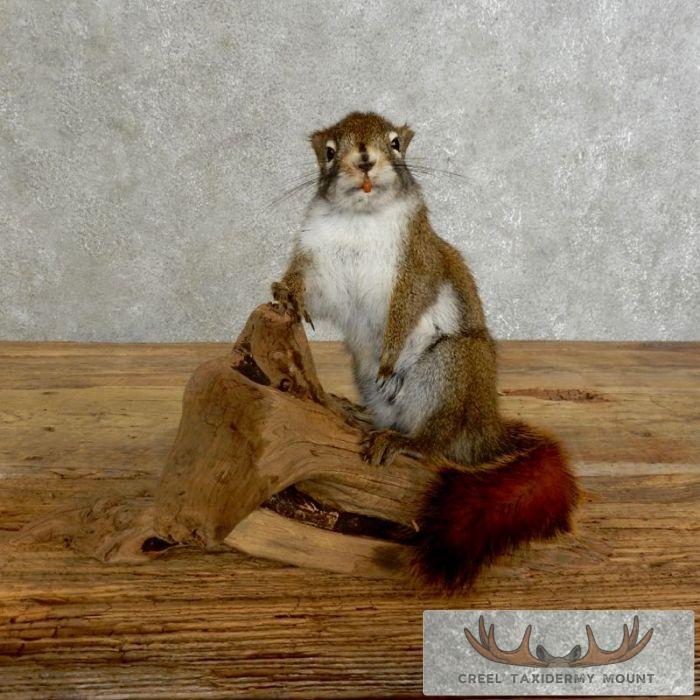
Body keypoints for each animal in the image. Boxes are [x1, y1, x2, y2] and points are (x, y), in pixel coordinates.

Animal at [272, 112, 579, 588]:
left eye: (396, 144)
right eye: (329, 151)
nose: (365, 161)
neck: (360, 219)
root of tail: (484, 428)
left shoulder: (418, 264)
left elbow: (407, 308)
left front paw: (389, 352)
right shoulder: (321, 261)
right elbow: (313, 291)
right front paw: (285, 293)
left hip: (451, 366)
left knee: (437, 441)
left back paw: (406, 442)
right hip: (370, 380)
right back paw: (359, 416)